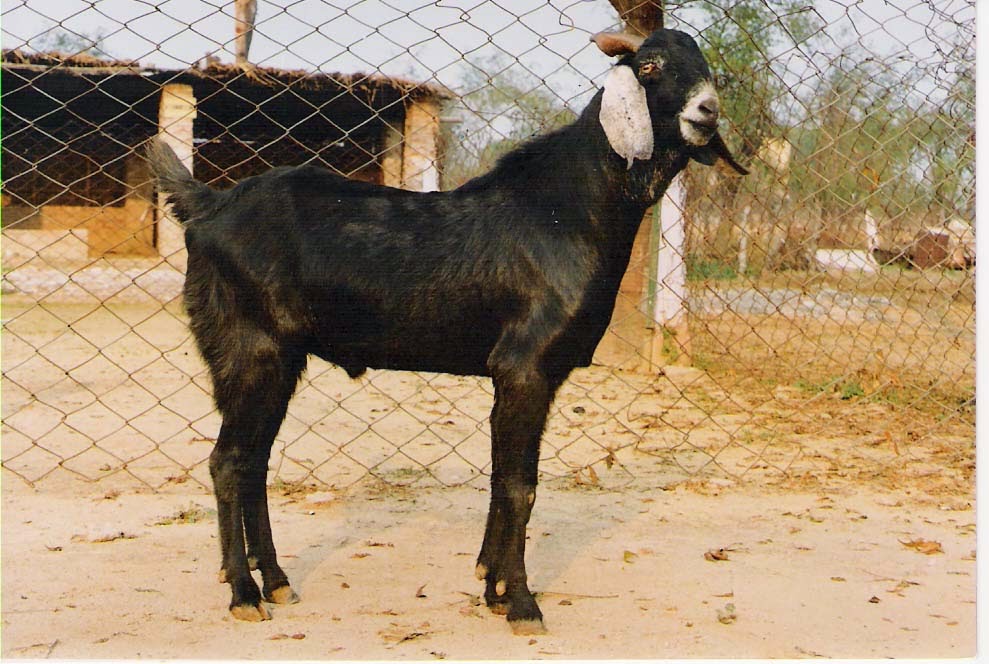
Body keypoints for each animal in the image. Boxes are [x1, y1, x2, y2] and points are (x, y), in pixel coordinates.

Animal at [146, 27, 746, 635]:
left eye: (705, 66)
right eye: (649, 67)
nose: (707, 109)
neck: (568, 209)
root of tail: (208, 203)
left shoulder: (530, 377)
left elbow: (502, 479)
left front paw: (493, 586)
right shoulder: (523, 366)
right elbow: (521, 486)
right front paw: (522, 603)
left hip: (279, 359)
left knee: (254, 462)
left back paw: (276, 581)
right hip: (251, 351)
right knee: (228, 462)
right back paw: (244, 593)